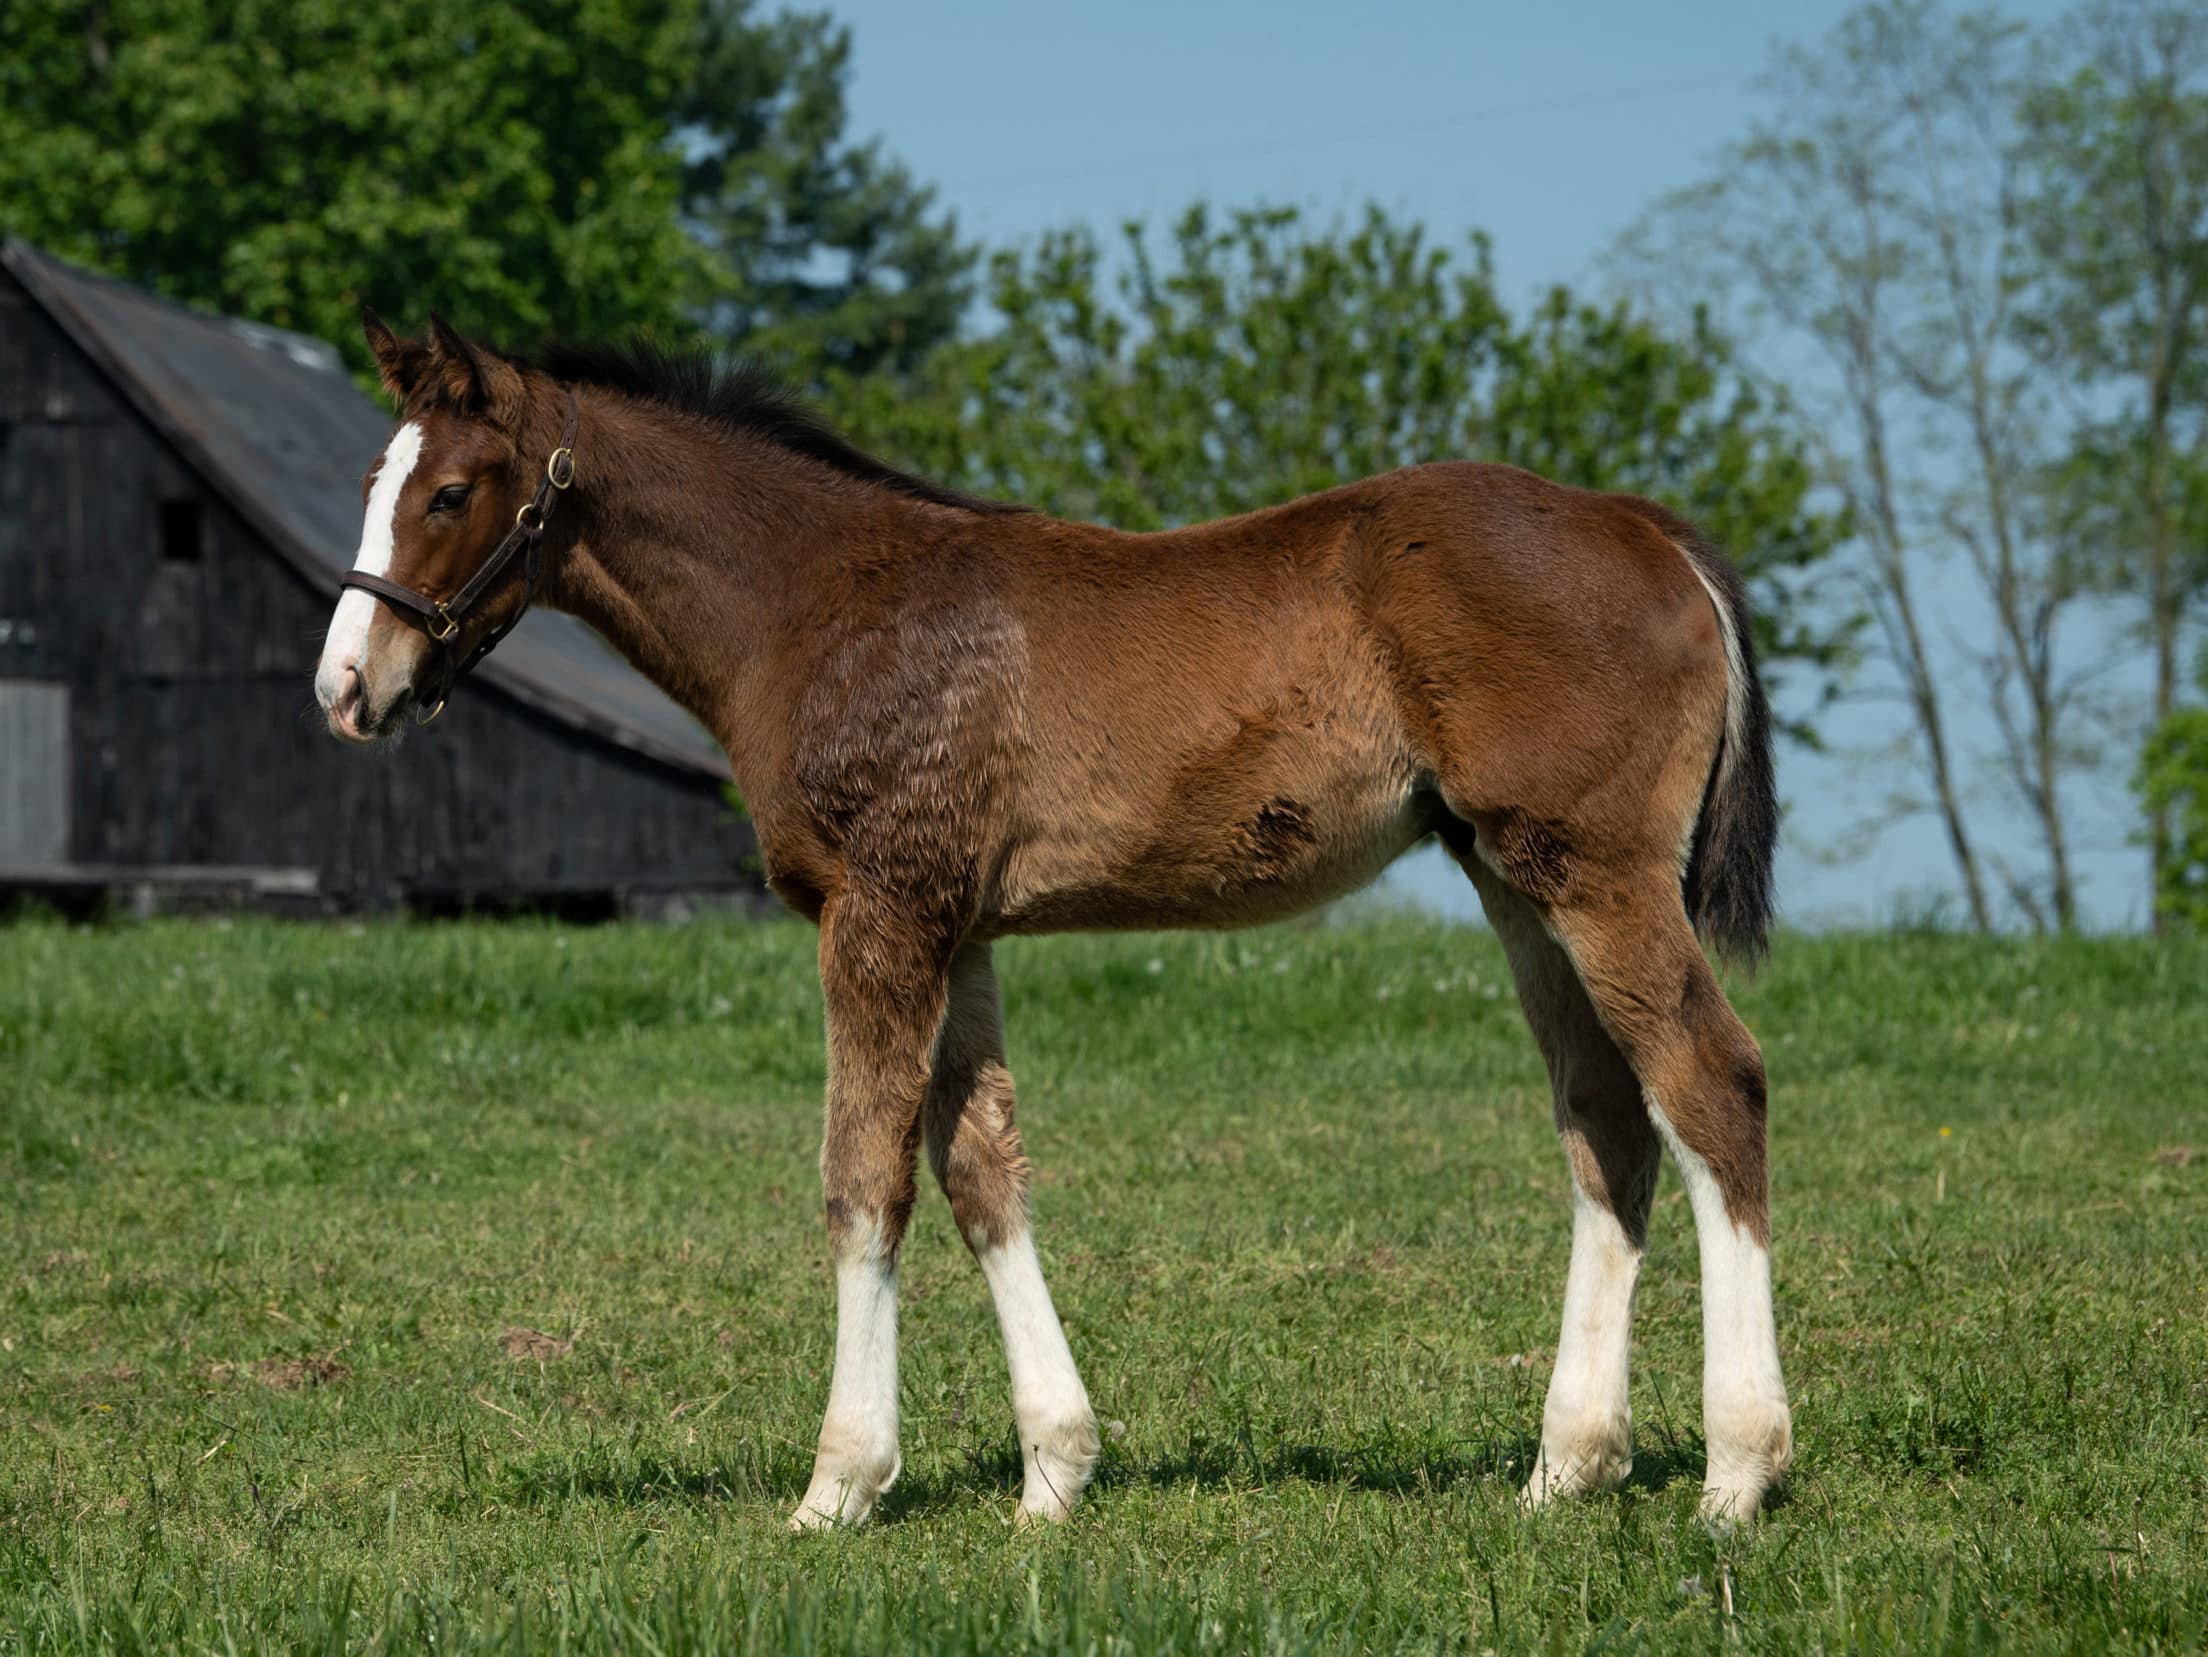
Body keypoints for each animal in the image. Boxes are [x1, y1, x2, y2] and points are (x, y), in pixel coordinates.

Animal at [313, 312, 1792, 1531]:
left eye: (450, 492)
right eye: (373, 482)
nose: (346, 689)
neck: (821, 601)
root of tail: (1650, 530)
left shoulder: (879, 913)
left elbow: (865, 1179)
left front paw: (838, 1486)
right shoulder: (957, 929)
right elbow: (982, 1174)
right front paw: (1054, 1474)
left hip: (1597, 873)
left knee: (1709, 1083)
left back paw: (1735, 1472)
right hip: (1515, 877)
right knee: (1606, 1119)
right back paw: (1565, 1469)